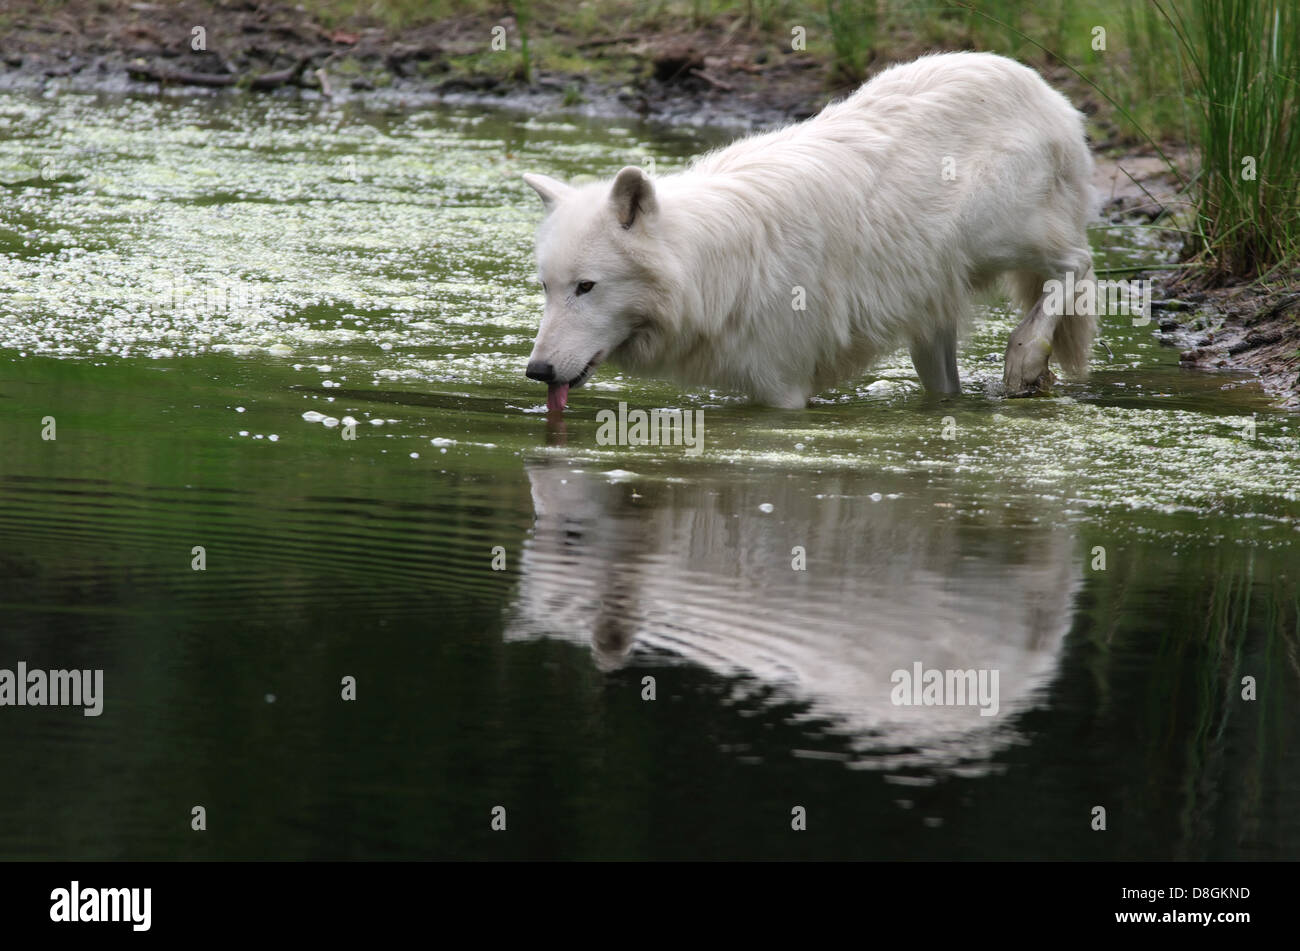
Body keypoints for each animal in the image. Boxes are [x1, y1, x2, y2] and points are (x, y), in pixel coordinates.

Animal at [522, 51, 1097, 411]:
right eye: (547, 288)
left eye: (586, 287)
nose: (537, 371)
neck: (711, 267)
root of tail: (1048, 94)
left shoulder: (784, 390)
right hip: (930, 315)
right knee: (947, 387)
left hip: (995, 236)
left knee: (1077, 263)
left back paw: (1025, 358)